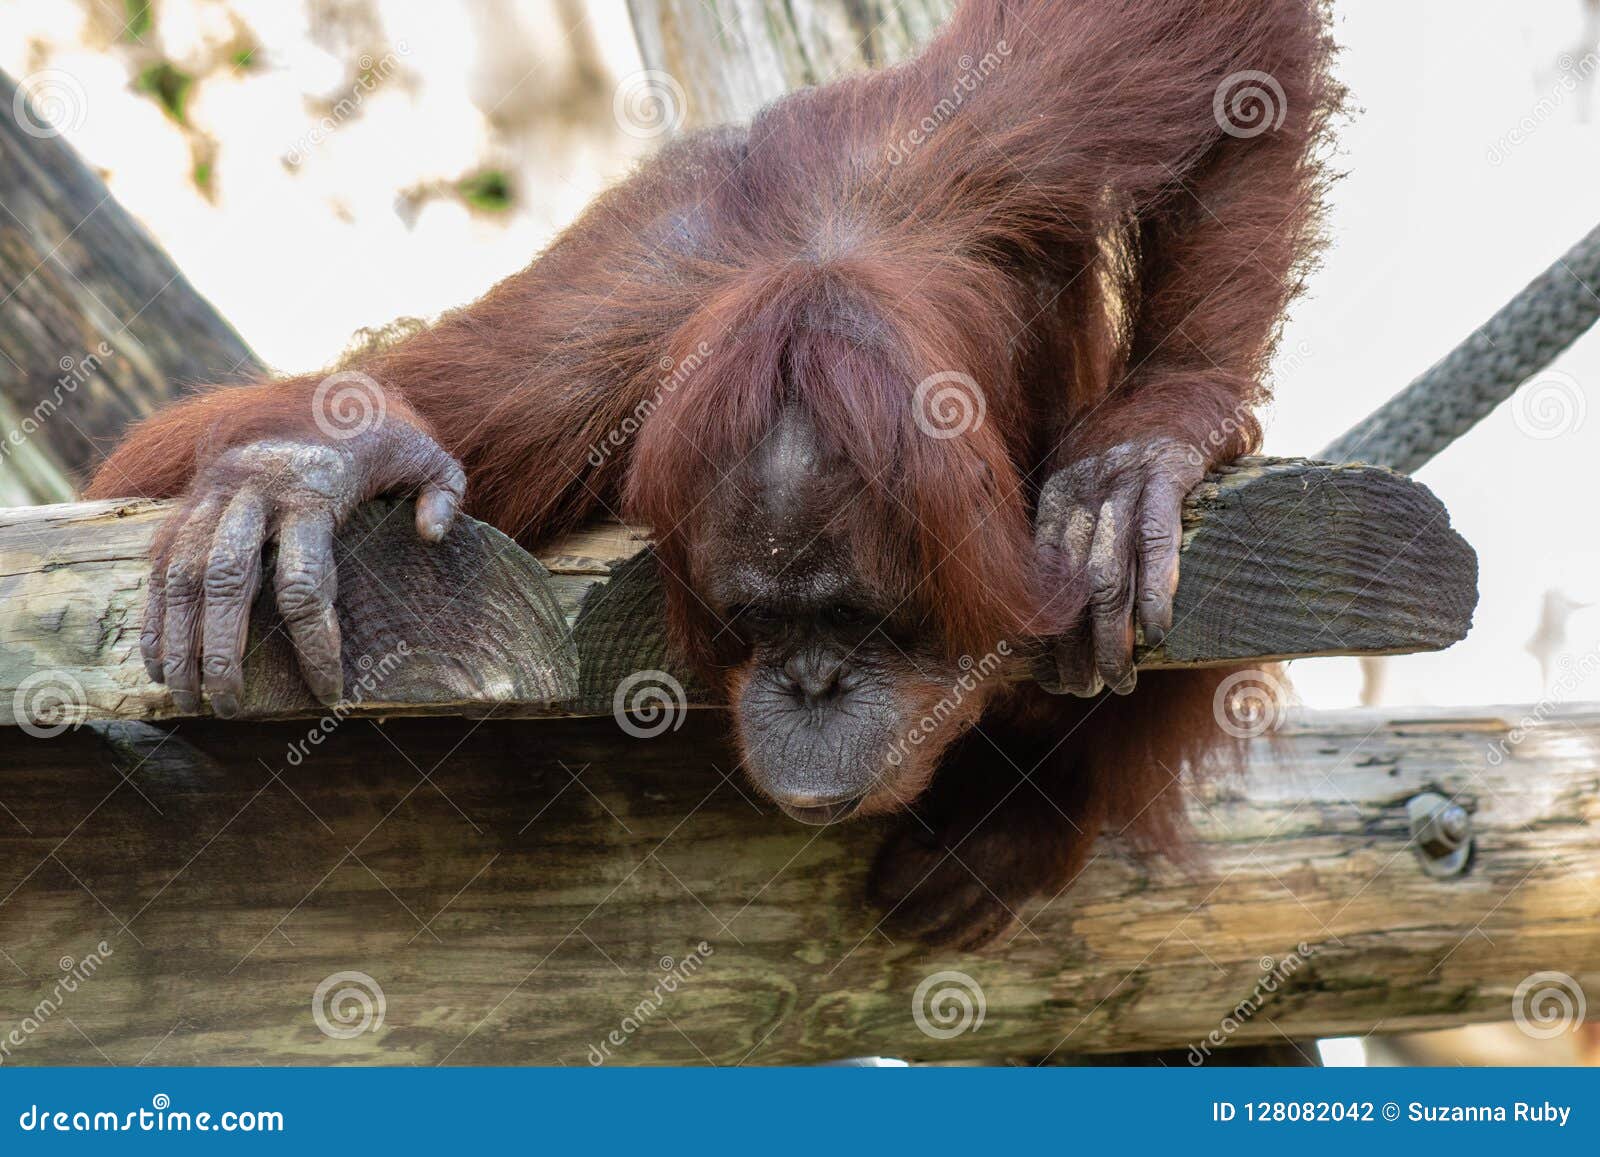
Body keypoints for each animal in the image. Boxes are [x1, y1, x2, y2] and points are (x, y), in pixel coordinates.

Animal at [88, 0, 1339, 948]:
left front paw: (1150, 439)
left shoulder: (1012, 126)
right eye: (760, 622)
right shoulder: (587, 346)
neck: (823, 250)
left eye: (860, 622)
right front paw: (318, 463)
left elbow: (1228, 55)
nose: (811, 685)